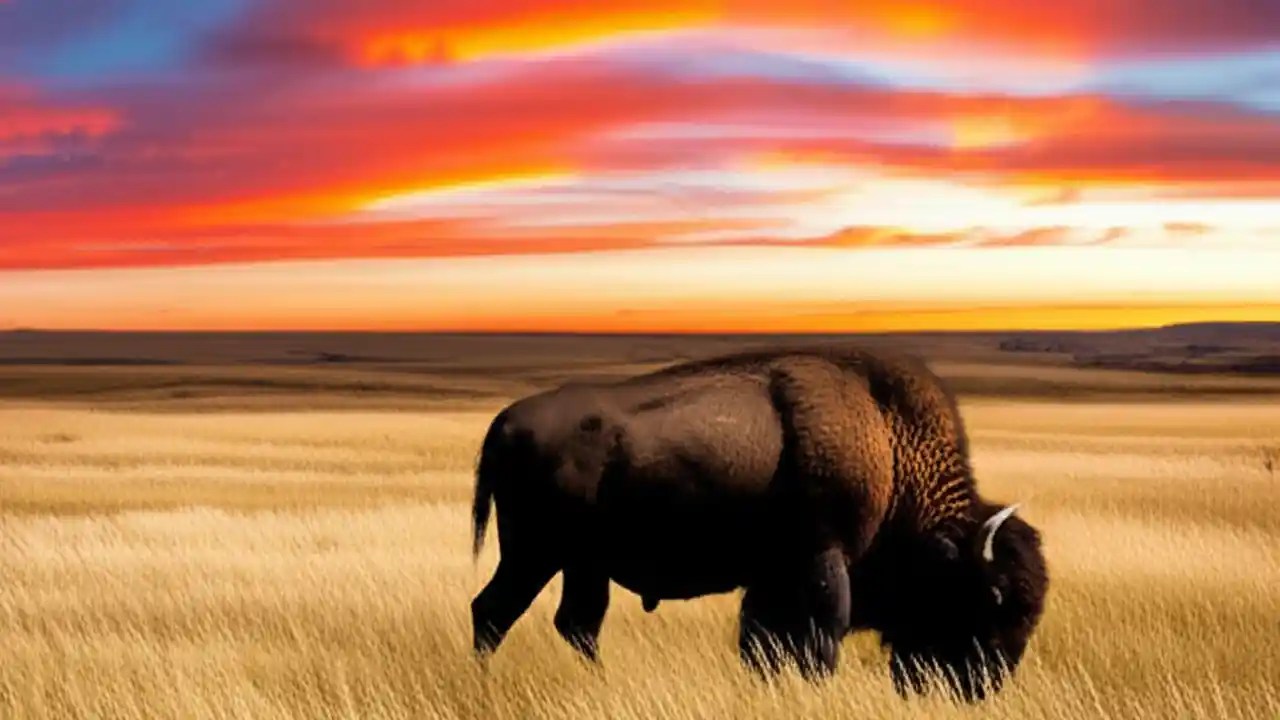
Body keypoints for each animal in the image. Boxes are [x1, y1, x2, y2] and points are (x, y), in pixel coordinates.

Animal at [468, 346, 1048, 700]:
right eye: (990, 598)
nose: (984, 685)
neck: (888, 442)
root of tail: (504, 422)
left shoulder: (773, 578)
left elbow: (760, 644)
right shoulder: (824, 561)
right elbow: (821, 639)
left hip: (579, 564)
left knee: (574, 624)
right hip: (535, 553)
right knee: (495, 612)